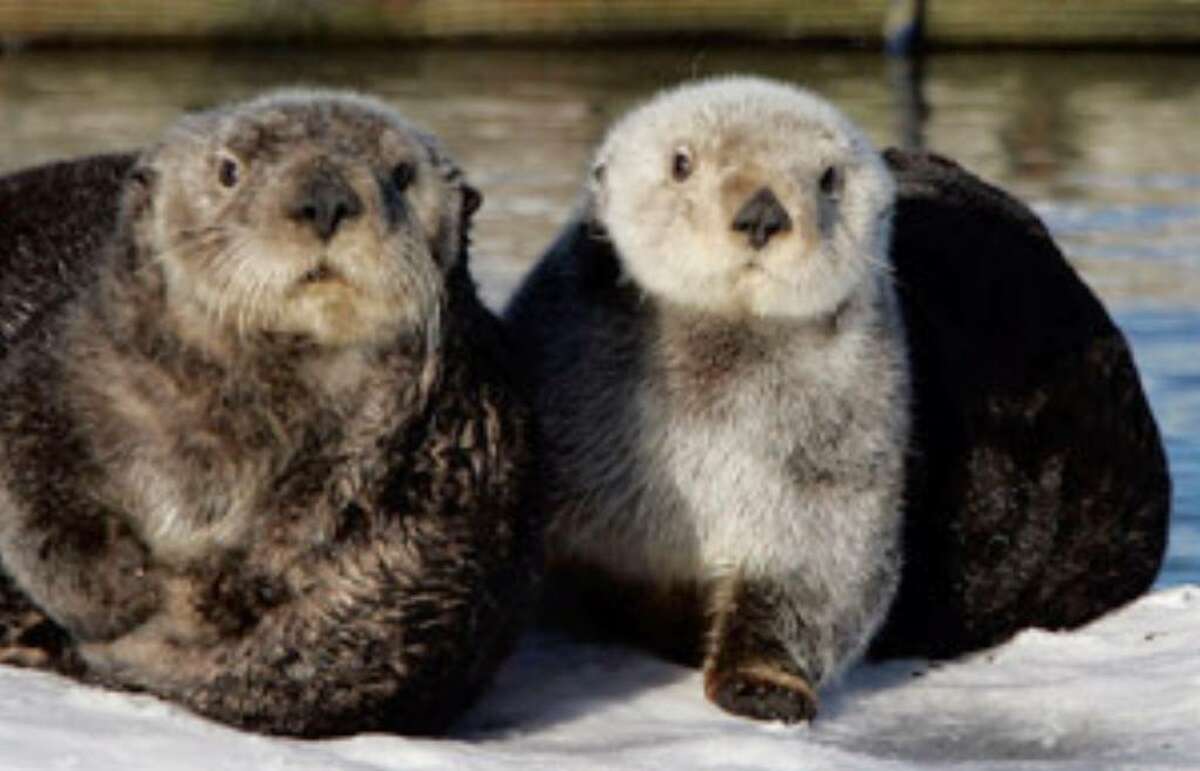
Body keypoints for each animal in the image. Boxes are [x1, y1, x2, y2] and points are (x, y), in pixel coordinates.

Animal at [0, 89, 540, 737]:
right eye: (229, 170)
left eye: (403, 174)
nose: (326, 200)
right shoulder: (55, 370)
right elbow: (33, 491)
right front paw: (125, 594)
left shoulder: (445, 492)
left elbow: (343, 649)